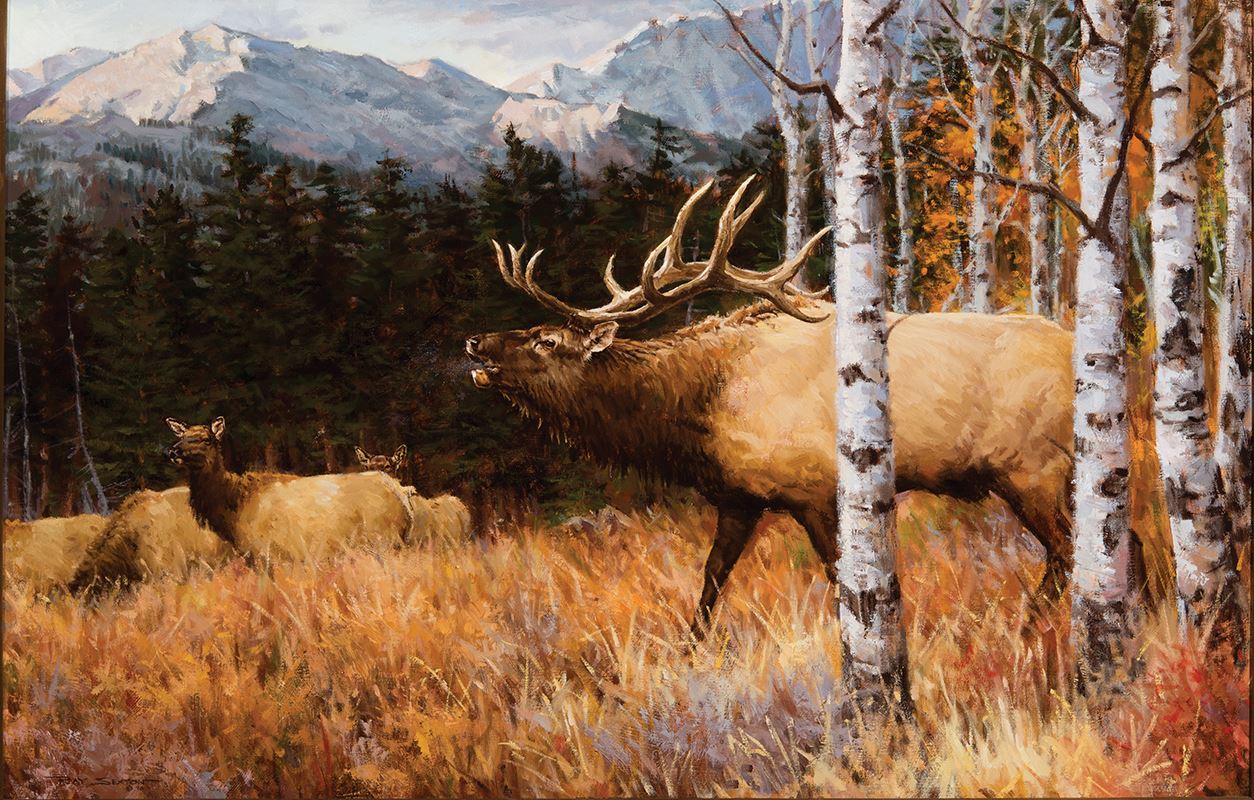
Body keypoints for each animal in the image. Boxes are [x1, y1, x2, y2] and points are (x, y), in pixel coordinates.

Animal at [466, 177, 1144, 642]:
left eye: (546, 341)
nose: (476, 344)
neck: (700, 410)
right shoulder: (739, 497)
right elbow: (711, 580)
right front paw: (691, 649)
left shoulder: (815, 487)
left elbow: (843, 579)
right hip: (1074, 468)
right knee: (1123, 539)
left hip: (1029, 468)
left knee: (1069, 551)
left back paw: (1031, 629)